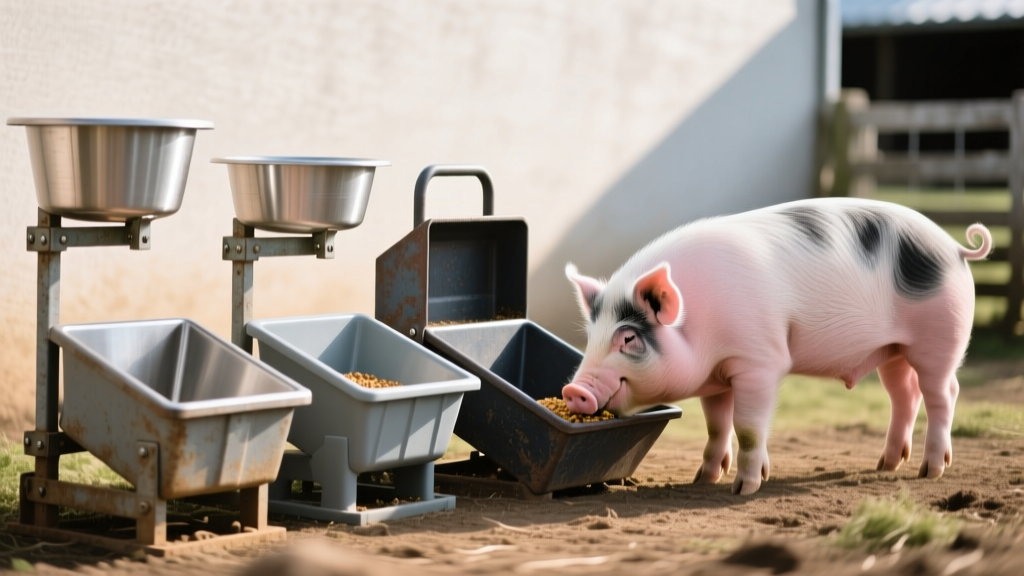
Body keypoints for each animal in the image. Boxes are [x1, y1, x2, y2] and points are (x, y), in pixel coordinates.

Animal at [562, 197, 992, 495]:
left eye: (628, 338)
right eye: (592, 337)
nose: (572, 390)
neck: (700, 326)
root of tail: (955, 248)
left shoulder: (759, 360)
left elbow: (748, 426)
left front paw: (743, 489)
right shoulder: (716, 376)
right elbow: (717, 425)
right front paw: (704, 479)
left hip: (940, 339)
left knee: (944, 394)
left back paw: (929, 470)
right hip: (893, 351)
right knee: (905, 394)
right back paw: (885, 465)